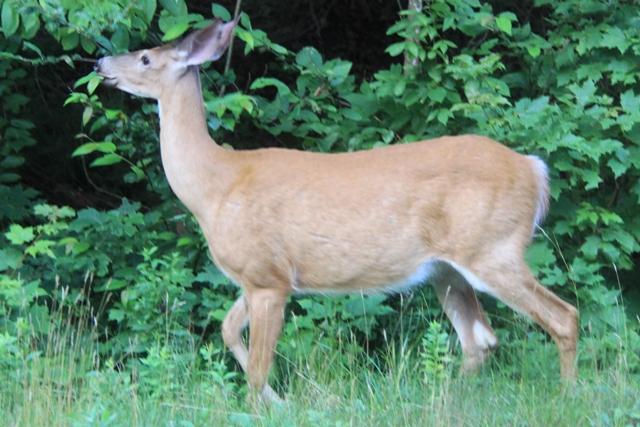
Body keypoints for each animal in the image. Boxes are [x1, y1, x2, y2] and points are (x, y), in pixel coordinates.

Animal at [95, 19, 579, 404]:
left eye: (145, 58)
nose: (100, 63)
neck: (215, 186)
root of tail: (534, 170)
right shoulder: (255, 276)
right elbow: (228, 331)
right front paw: (280, 403)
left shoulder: (269, 278)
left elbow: (257, 368)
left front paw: (263, 407)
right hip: (446, 269)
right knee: (480, 338)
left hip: (492, 248)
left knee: (562, 316)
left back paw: (566, 394)